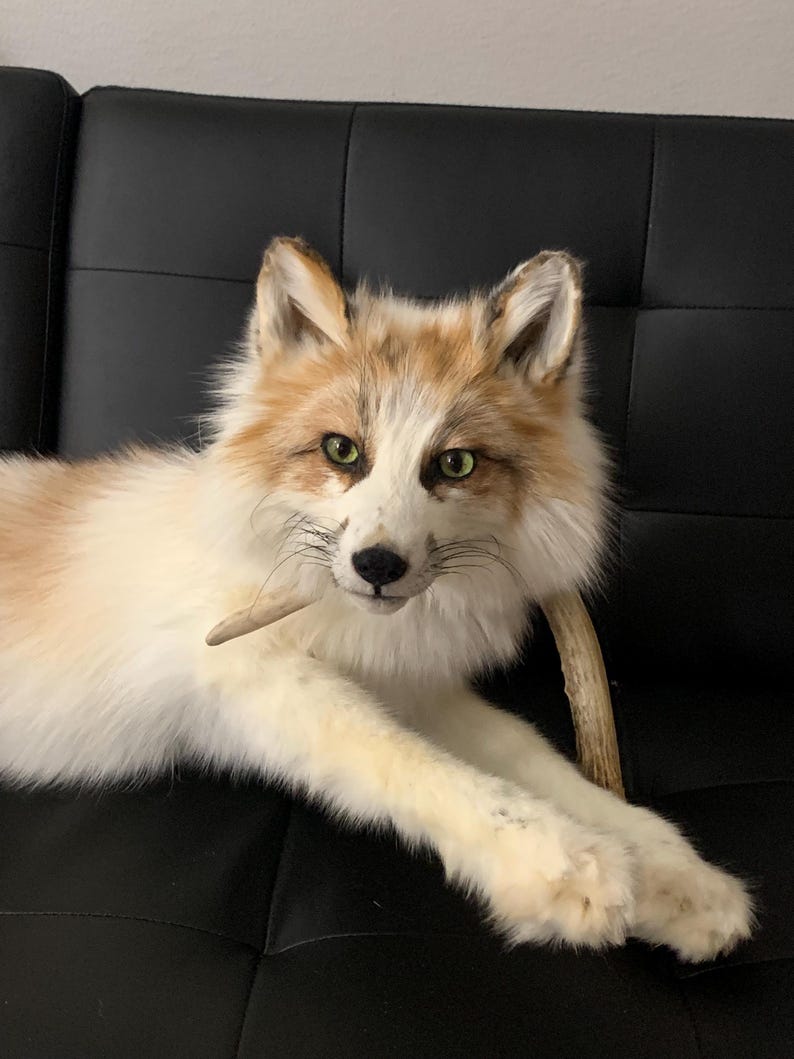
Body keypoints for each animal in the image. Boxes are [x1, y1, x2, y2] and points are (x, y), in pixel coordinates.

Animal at [0, 236, 753, 961]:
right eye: (342, 451)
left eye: (455, 463)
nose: (378, 566)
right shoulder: (249, 677)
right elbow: (418, 767)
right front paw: (562, 862)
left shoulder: (415, 686)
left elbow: (542, 762)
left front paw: (676, 873)